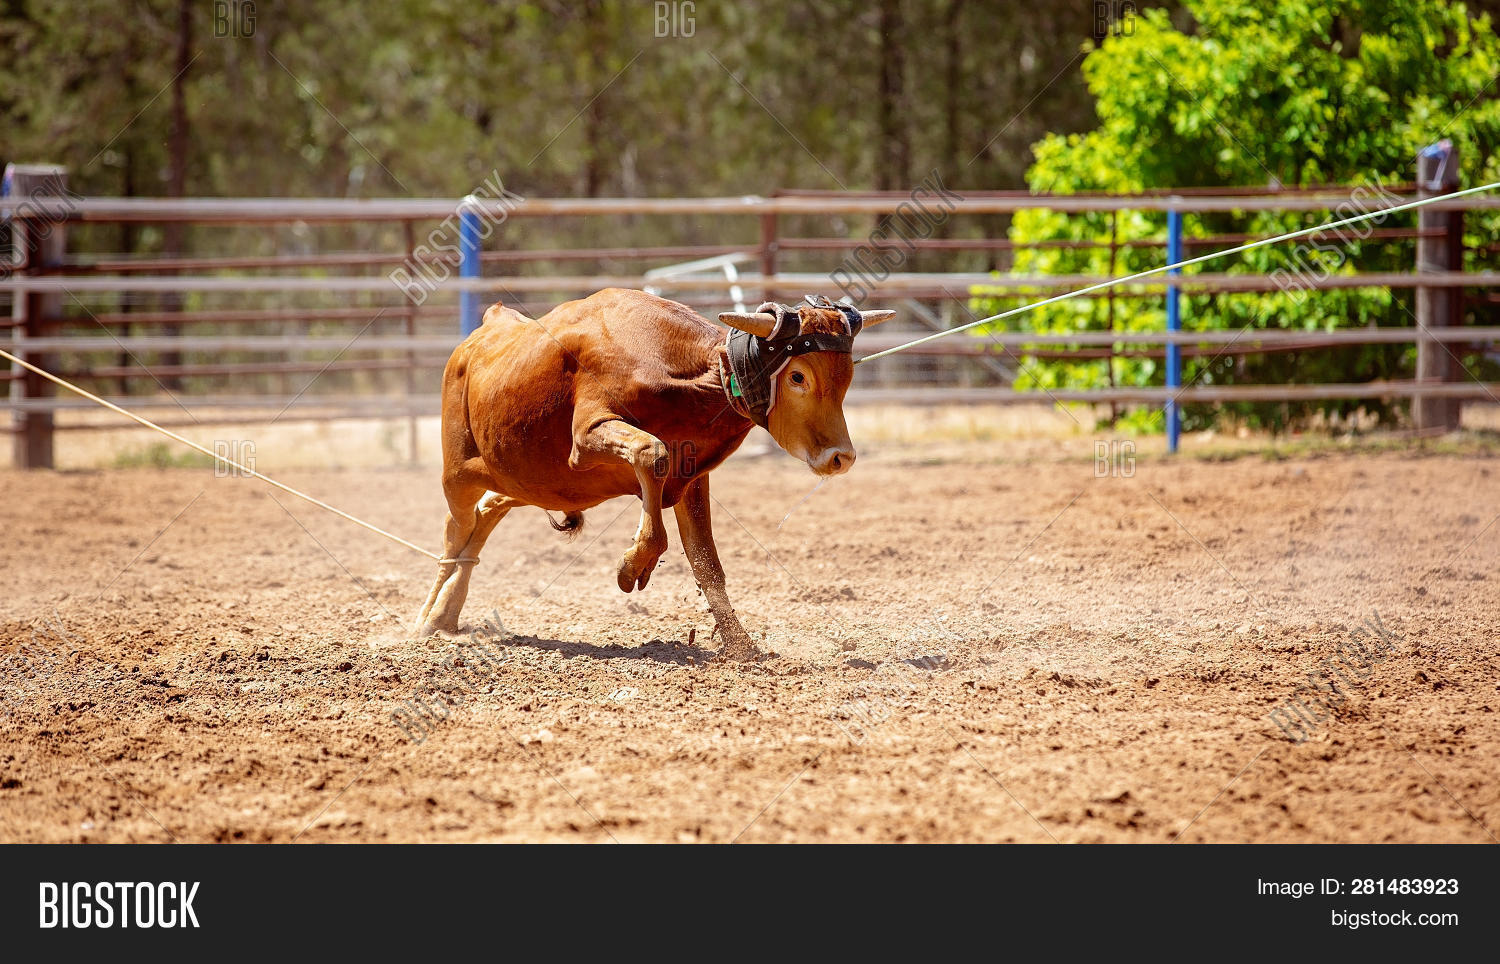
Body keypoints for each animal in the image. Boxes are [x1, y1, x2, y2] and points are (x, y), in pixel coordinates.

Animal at [413, 287, 894, 660]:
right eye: (797, 376)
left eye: (846, 377)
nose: (841, 457)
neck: (686, 373)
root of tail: (480, 335)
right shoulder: (588, 436)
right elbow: (652, 454)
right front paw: (634, 562)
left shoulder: (692, 478)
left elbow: (706, 563)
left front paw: (743, 648)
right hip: (460, 474)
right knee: (457, 528)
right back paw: (429, 619)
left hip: (533, 482)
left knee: (488, 512)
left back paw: (446, 613)